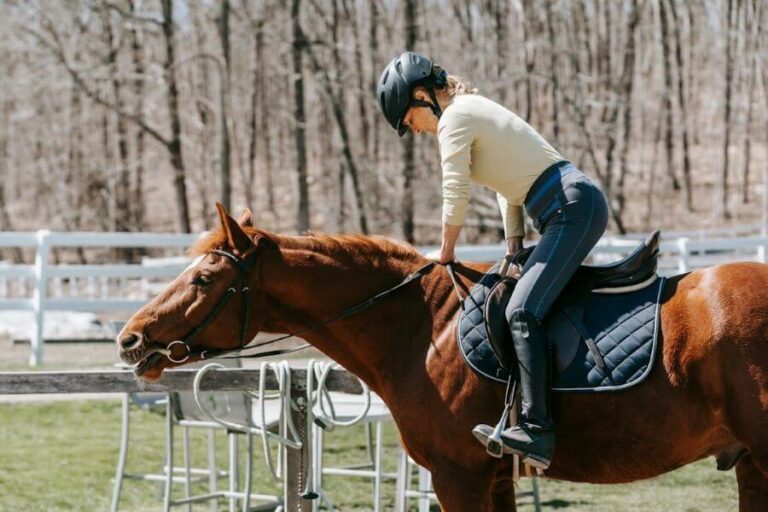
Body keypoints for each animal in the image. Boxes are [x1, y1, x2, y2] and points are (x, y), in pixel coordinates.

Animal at [117, 204, 768, 511]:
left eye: (203, 278)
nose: (130, 340)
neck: (422, 326)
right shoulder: (491, 477)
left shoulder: (459, 476)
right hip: (752, 465)